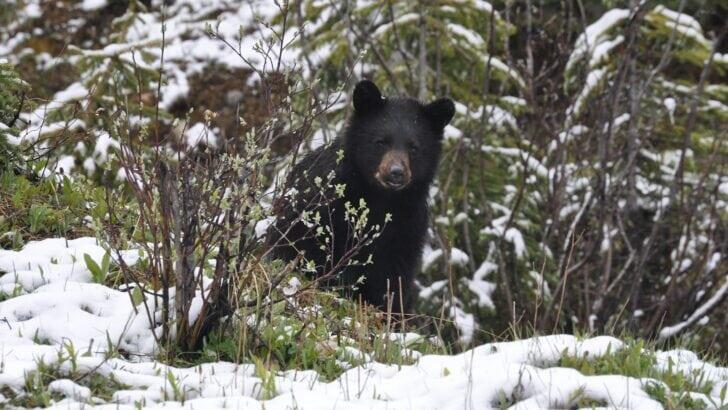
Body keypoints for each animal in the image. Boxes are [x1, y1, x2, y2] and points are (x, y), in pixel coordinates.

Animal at [266, 80, 455, 314]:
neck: (379, 198)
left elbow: (392, 280)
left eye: (414, 147)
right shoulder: (322, 208)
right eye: (381, 141)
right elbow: (303, 246)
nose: (396, 172)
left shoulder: (406, 228)